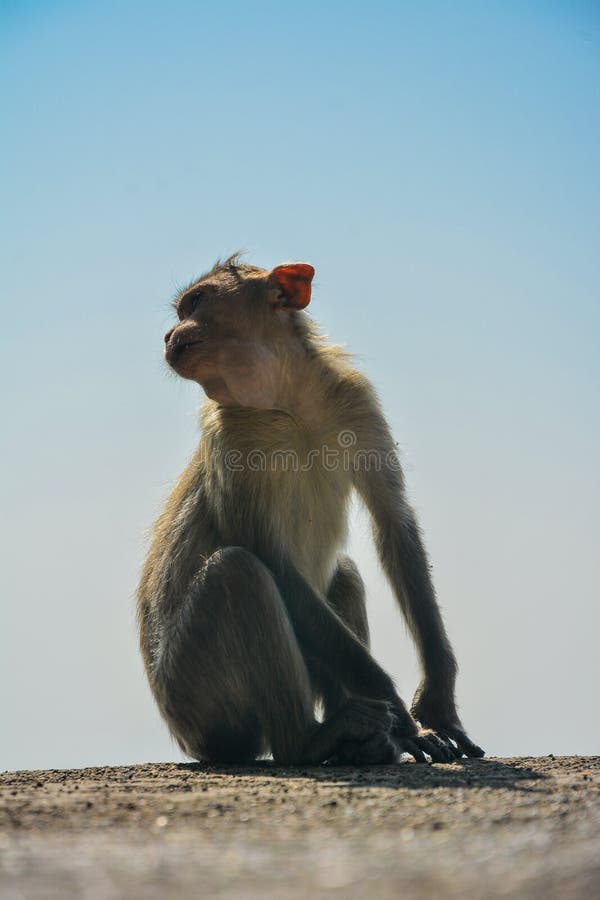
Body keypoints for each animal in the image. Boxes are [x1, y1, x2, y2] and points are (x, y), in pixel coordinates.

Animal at [137, 254, 484, 766]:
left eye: (195, 303)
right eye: (183, 309)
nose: (168, 335)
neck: (286, 402)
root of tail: (188, 738)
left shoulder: (358, 402)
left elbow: (393, 524)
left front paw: (437, 703)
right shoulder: (228, 442)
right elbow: (275, 564)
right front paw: (402, 714)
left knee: (342, 576)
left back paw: (359, 740)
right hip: (193, 695)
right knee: (239, 573)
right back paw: (309, 739)